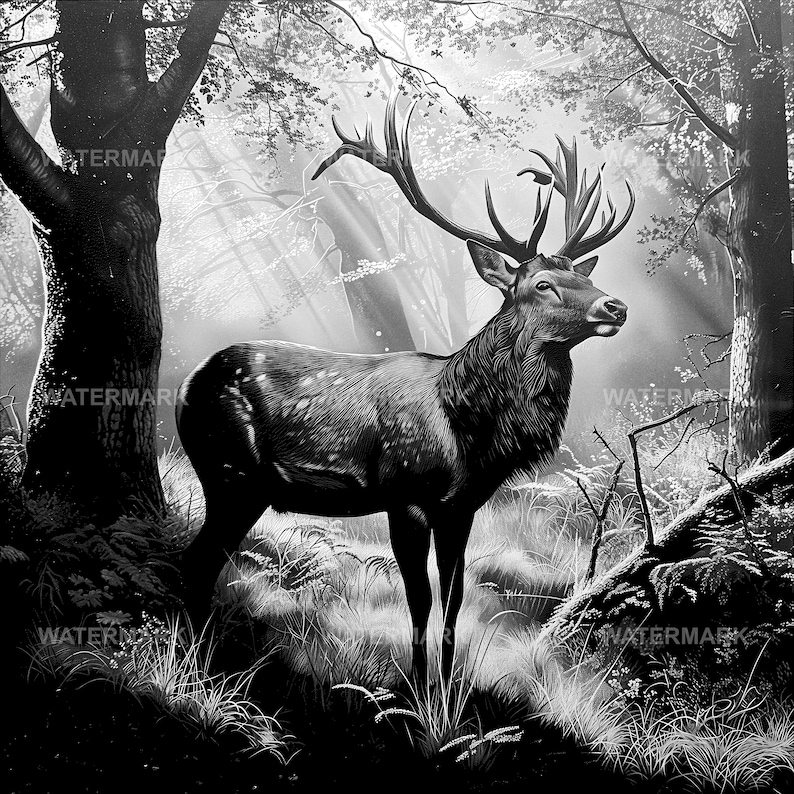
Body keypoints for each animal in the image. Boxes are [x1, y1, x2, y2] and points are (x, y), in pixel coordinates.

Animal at [177, 94, 633, 681]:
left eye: (585, 276)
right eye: (543, 285)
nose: (616, 306)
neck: (468, 434)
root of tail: (186, 384)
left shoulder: (462, 507)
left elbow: (455, 598)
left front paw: (447, 684)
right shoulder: (407, 494)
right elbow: (418, 597)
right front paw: (417, 690)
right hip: (230, 473)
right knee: (197, 560)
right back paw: (196, 665)